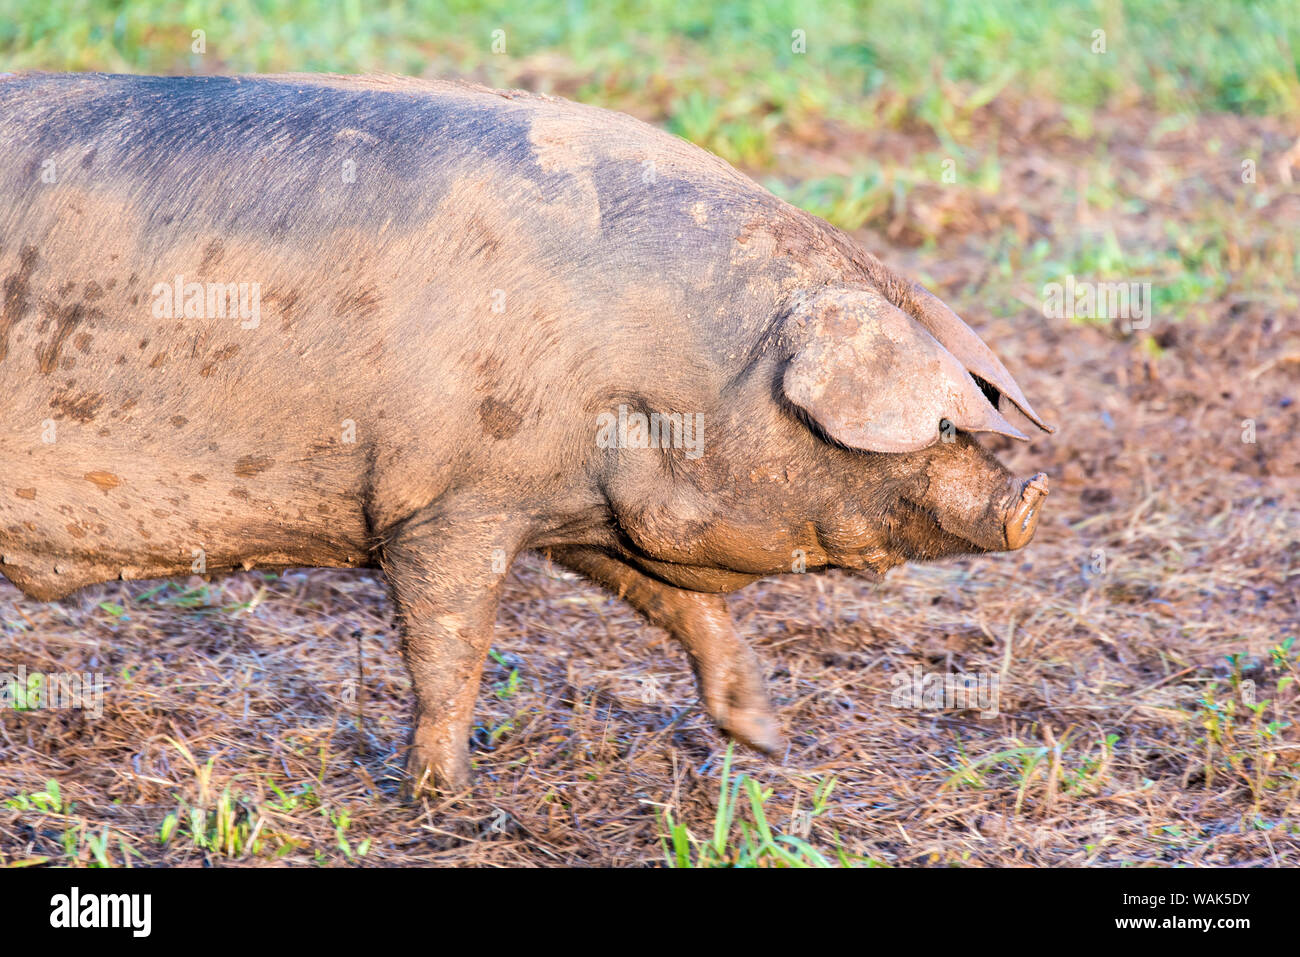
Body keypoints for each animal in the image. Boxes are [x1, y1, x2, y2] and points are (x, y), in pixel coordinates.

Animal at [0, 73, 1053, 795]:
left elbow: (683, 608)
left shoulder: (588, 510)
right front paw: (444, 793)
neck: (665, 355)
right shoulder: (449, 503)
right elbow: (450, 644)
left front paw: (763, 736)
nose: (1029, 498)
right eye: (929, 428)